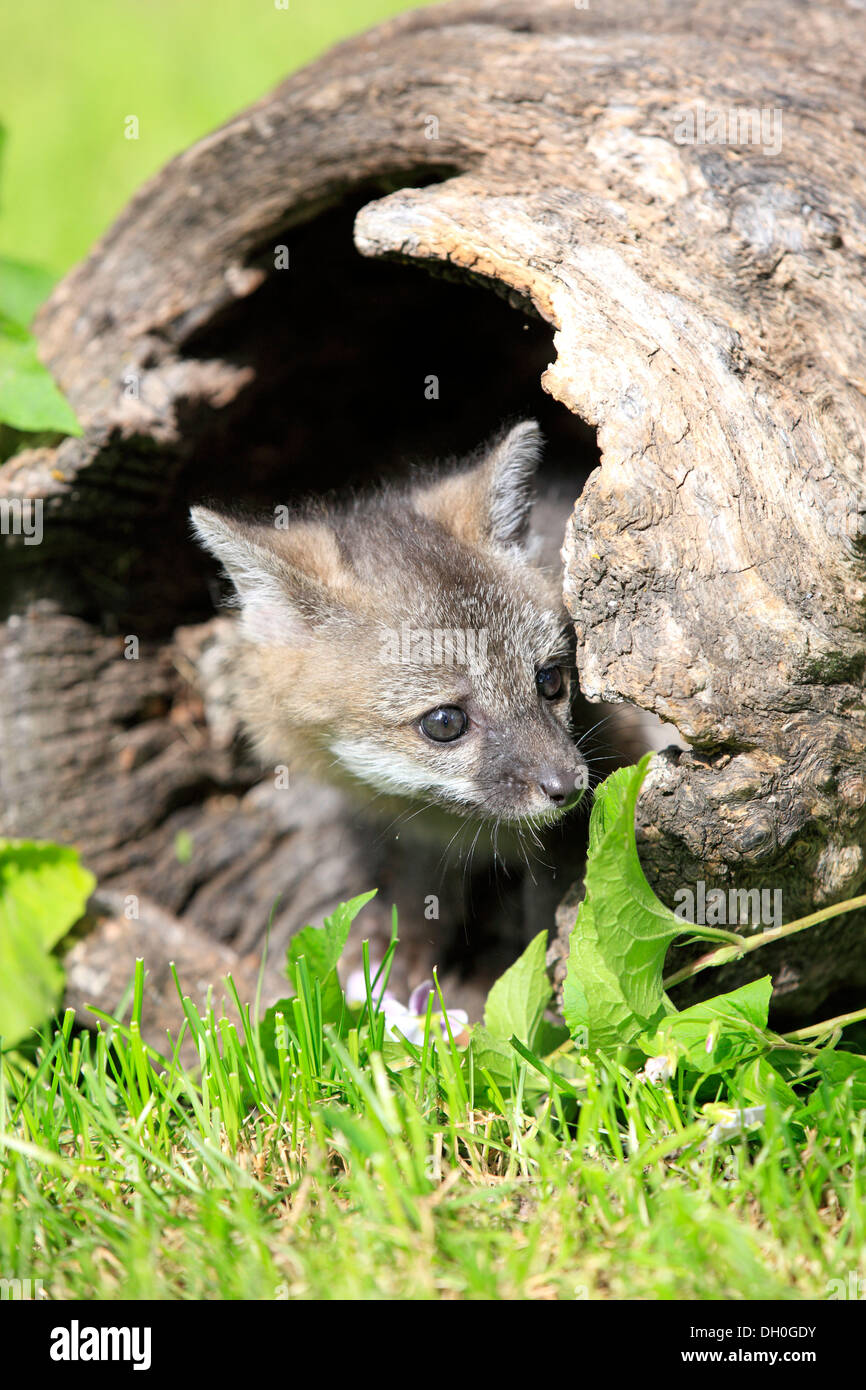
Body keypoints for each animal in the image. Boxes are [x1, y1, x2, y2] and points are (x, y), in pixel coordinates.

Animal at [190, 421, 661, 1008]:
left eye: (550, 680)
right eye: (445, 722)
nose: (569, 785)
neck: (449, 823)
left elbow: (547, 925)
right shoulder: (416, 841)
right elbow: (417, 901)